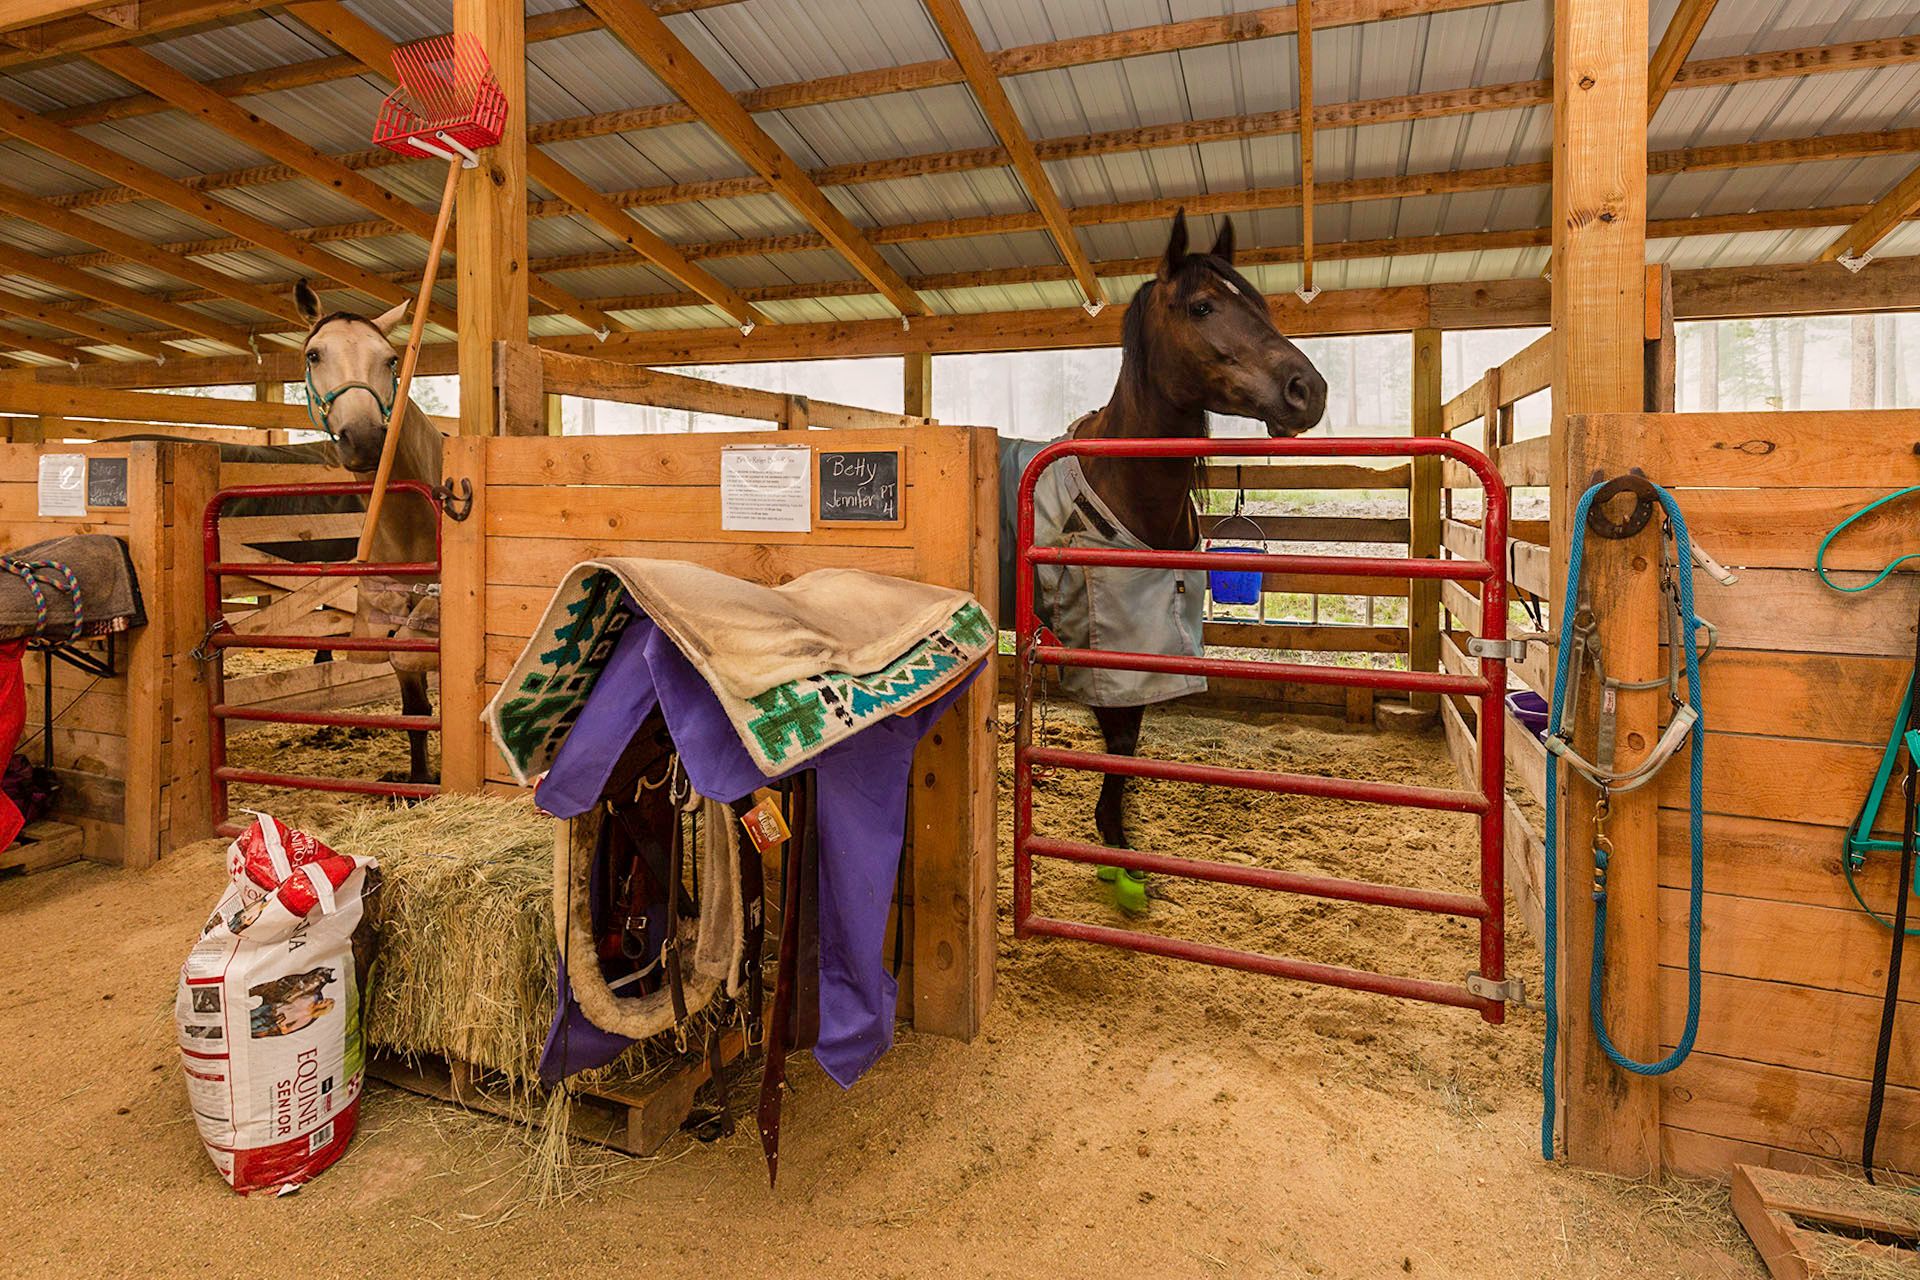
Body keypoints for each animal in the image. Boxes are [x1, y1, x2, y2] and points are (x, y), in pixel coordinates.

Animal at [292, 279, 445, 785]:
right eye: (314, 354)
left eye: (392, 359)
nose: (364, 438)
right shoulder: (391, 623)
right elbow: (417, 710)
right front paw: (419, 780)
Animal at [1007, 210, 1328, 911]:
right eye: (1202, 306)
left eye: (1259, 305)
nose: (1308, 390)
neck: (1123, 476)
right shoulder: (1102, 640)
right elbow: (1120, 741)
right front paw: (1120, 859)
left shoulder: (1149, 636)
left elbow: (1128, 742)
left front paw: (1117, 849)